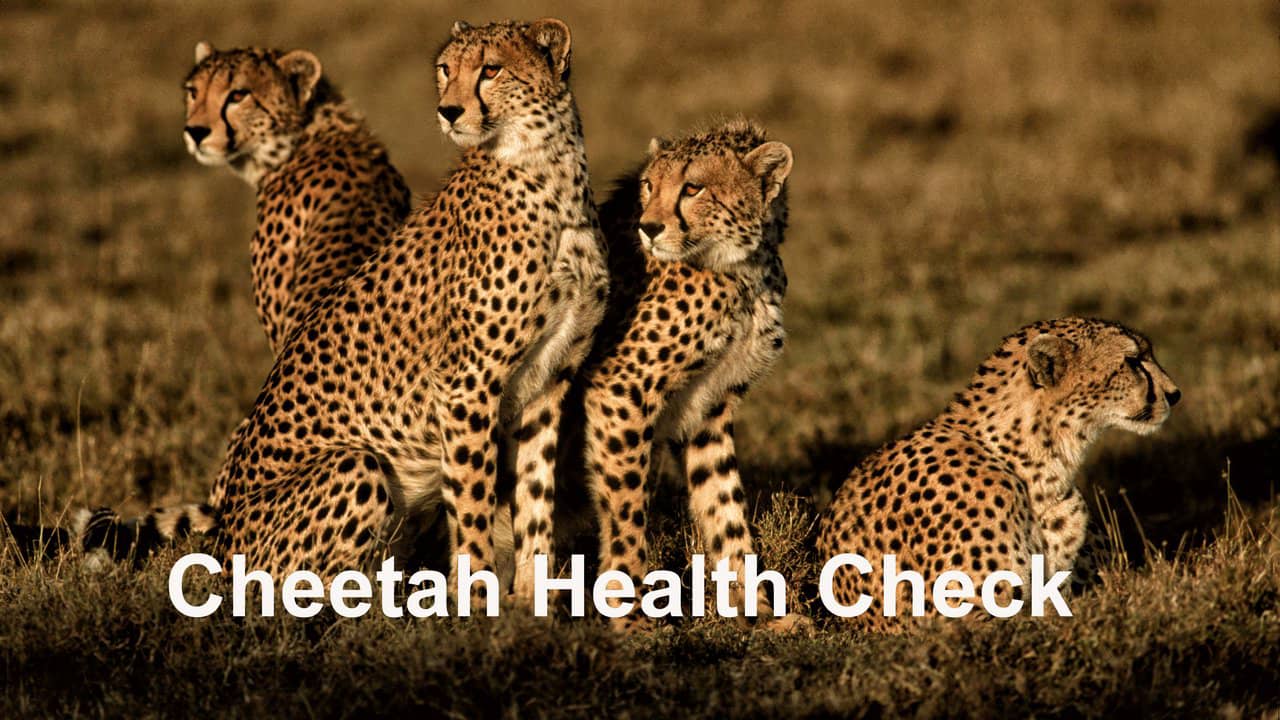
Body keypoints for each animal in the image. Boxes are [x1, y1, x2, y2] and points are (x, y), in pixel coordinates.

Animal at [566, 118, 799, 630]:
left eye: (693, 187)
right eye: (648, 185)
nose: (649, 227)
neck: (740, 268)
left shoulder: (708, 406)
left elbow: (724, 509)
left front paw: (761, 612)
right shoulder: (621, 389)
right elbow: (627, 508)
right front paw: (630, 620)